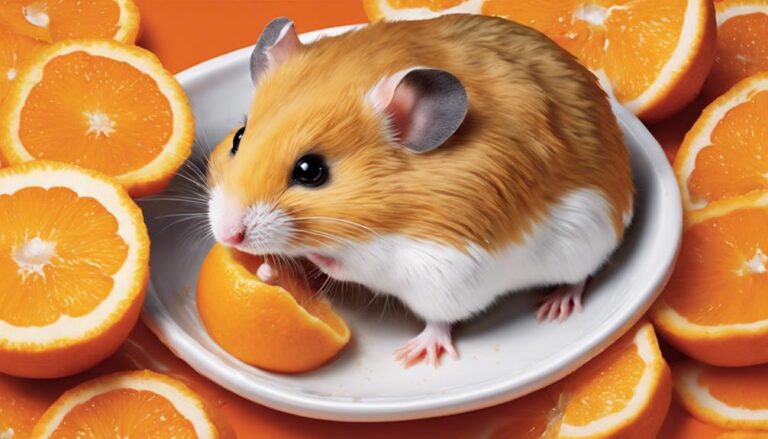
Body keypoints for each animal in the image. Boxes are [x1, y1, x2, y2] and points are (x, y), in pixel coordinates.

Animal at [207, 14, 634, 367]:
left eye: (311, 171)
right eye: (239, 137)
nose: (227, 235)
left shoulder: (445, 268)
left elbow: (434, 317)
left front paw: (413, 354)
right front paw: (273, 267)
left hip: (585, 239)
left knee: (582, 276)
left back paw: (555, 306)